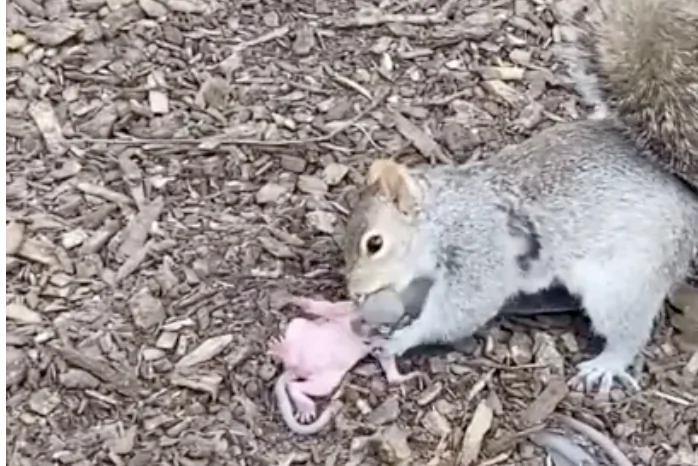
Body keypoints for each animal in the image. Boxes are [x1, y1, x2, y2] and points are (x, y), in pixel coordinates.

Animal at [341, 0, 698, 398]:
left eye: (374, 243)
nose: (354, 293)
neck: (444, 216)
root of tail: (686, 195)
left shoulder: (479, 250)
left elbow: (461, 309)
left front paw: (403, 338)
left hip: (626, 280)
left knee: (628, 330)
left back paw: (607, 363)